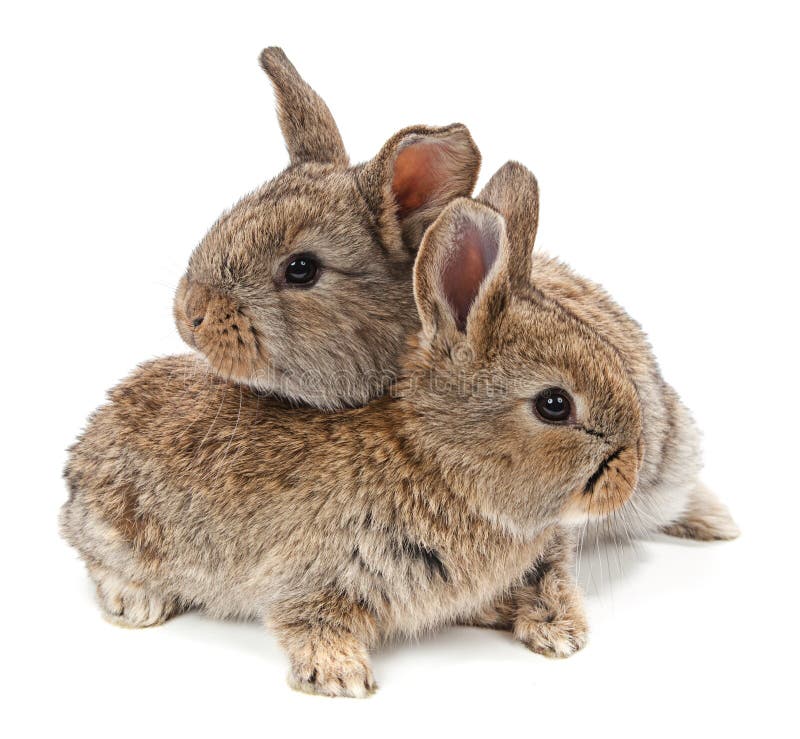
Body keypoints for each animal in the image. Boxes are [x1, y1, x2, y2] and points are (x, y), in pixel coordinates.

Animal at [61, 162, 646, 697]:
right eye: (554, 404)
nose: (630, 474)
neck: (437, 461)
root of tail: (80, 462)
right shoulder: (321, 571)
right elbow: (308, 619)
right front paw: (340, 677)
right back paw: (137, 602)